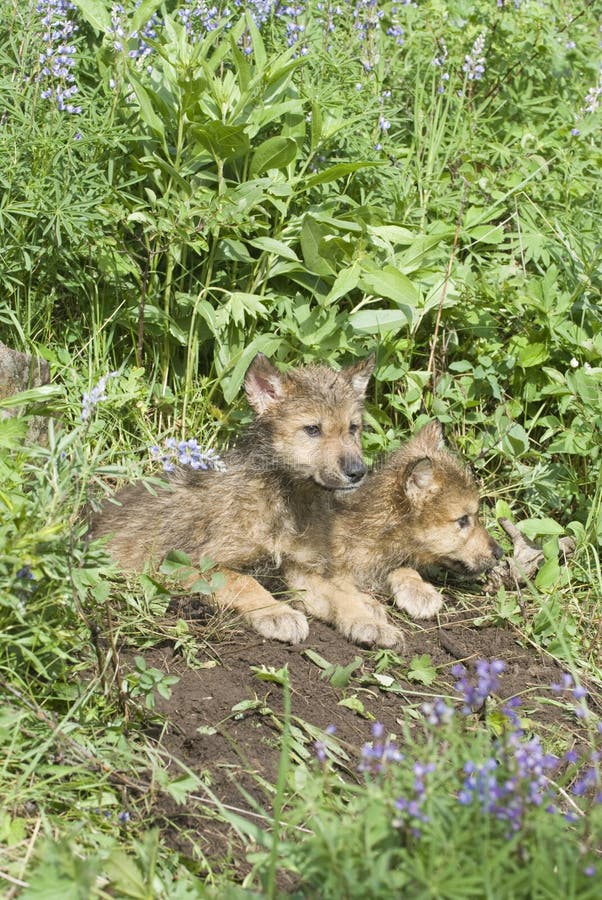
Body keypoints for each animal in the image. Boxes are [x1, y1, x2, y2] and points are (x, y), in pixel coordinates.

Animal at [90, 352, 401, 646]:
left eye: (353, 428)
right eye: (312, 429)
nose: (358, 472)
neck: (285, 498)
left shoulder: (299, 572)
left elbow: (338, 596)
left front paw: (366, 622)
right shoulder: (191, 564)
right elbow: (247, 582)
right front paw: (277, 613)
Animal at [287, 420, 503, 635]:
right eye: (463, 520)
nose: (499, 552)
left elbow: (404, 569)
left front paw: (419, 592)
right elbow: (338, 586)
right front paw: (367, 605)